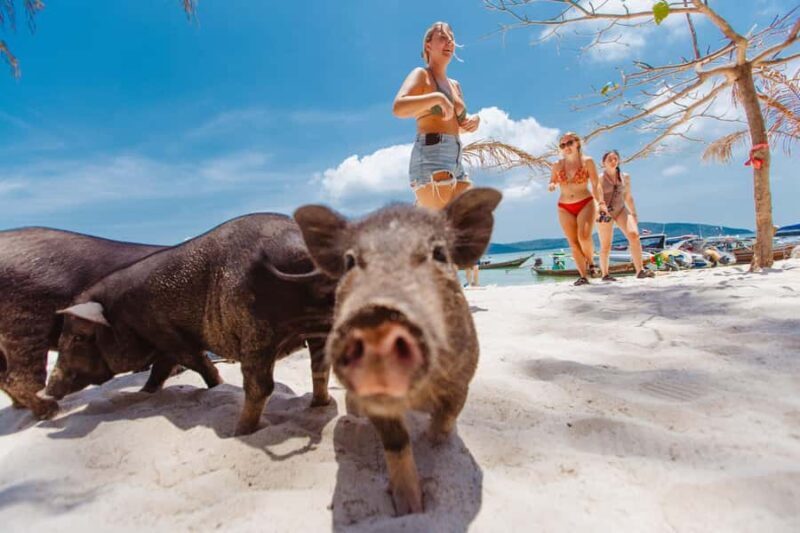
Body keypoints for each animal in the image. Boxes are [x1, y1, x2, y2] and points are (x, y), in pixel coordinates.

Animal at [45, 213, 335, 435]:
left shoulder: (169, 335)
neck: (120, 315)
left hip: (256, 329)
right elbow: (160, 372)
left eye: (78, 337)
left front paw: (216, 385)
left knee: (260, 385)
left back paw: (238, 431)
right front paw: (144, 392)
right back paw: (319, 404)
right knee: (319, 367)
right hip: (317, 325)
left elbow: (197, 363)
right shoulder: (164, 342)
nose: (47, 391)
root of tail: (299, 248)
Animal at [293, 187, 502, 514]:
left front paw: (434, 443)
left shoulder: (463, 377)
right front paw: (409, 508)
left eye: (439, 253)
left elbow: (446, 420)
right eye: (350, 261)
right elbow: (396, 444)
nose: (376, 317)